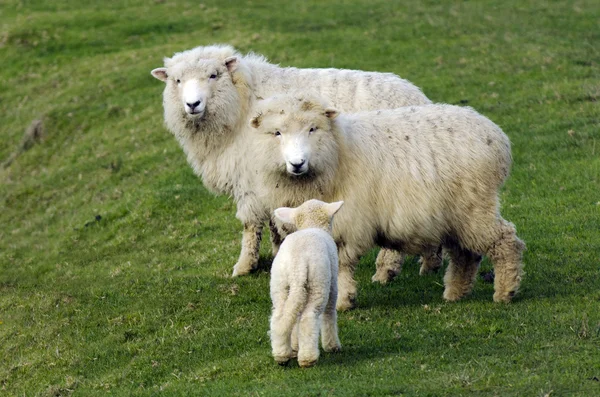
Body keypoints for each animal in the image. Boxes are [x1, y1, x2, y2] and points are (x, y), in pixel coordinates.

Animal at [149, 44, 436, 282]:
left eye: (213, 75)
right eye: (177, 81)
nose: (192, 104)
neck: (241, 102)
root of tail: (419, 98)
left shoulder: (250, 181)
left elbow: (250, 224)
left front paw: (244, 266)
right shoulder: (270, 180)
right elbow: (276, 221)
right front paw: (279, 253)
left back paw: (386, 270)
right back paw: (429, 264)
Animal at [248, 93, 524, 310]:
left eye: (312, 129)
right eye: (277, 133)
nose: (297, 163)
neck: (337, 152)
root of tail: (497, 136)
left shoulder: (345, 224)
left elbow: (342, 265)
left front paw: (343, 301)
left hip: (475, 208)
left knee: (506, 241)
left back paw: (505, 291)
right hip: (457, 216)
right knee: (464, 254)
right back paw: (455, 293)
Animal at [268, 200, 342, 366]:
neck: (311, 224)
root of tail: (298, 265)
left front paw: (295, 346)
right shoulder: (333, 284)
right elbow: (329, 313)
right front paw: (332, 346)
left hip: (279, 283)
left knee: (279, 316)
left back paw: (282, 354)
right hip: (318, 282)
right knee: (309, 318)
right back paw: (308, 358)